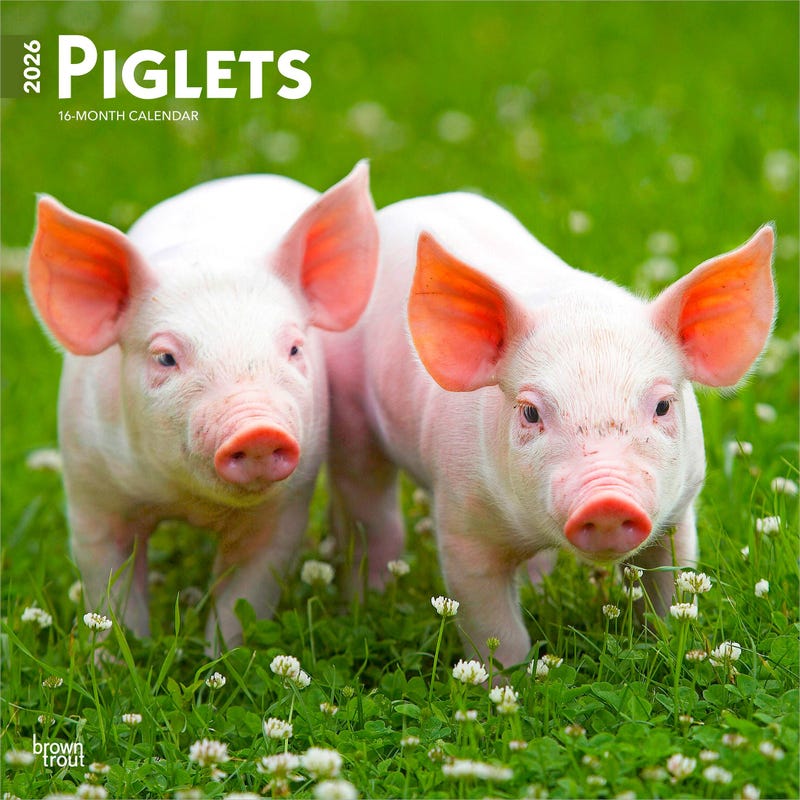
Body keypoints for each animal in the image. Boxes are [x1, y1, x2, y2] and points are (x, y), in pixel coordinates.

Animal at [27, 162, 378, 650]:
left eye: (293, 348)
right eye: (165, 357)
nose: (258, 429)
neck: (187, 502)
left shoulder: (282, 512)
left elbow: (242, 598)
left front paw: (223, 660)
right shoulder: (89, 489)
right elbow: (109, 588)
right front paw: (118, 658)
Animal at [325, 192, 775, 667]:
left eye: (663, 405)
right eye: (529, 412)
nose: (607, 500)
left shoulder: (679, 511)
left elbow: (668, 587)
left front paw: (670, 647)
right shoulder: (461, 519)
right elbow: (493, 626)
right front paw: (507, 677)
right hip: (351, 415)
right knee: (371, 512)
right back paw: (365, 600)